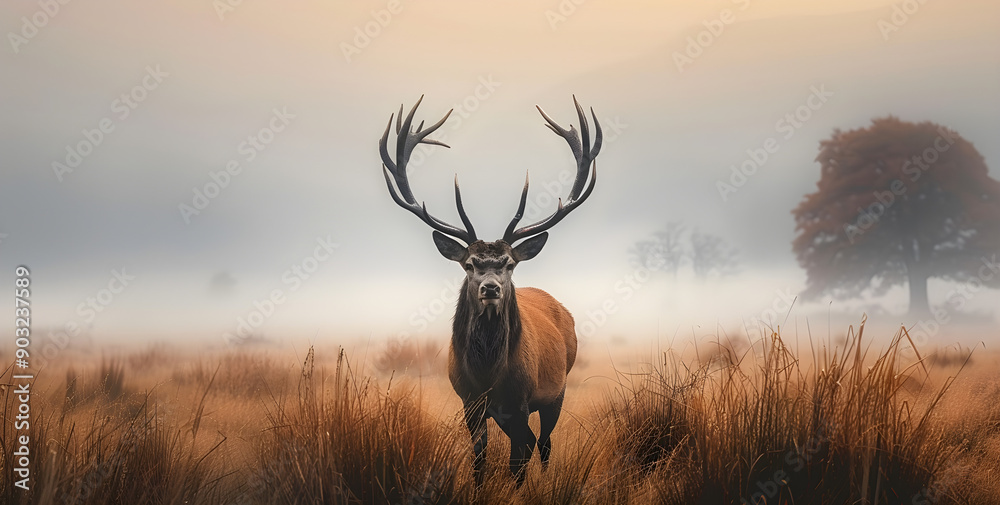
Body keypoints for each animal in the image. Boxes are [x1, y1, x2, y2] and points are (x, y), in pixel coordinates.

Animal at [378, 95, 602, 487]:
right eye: (469, 264)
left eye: (509, 263)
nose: (491, 288)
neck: (488, 373)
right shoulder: (469, 401)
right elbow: (480, 459)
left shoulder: (521, 400)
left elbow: (517, 461)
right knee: (533, 443)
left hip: (558, 388)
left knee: (543, 444)